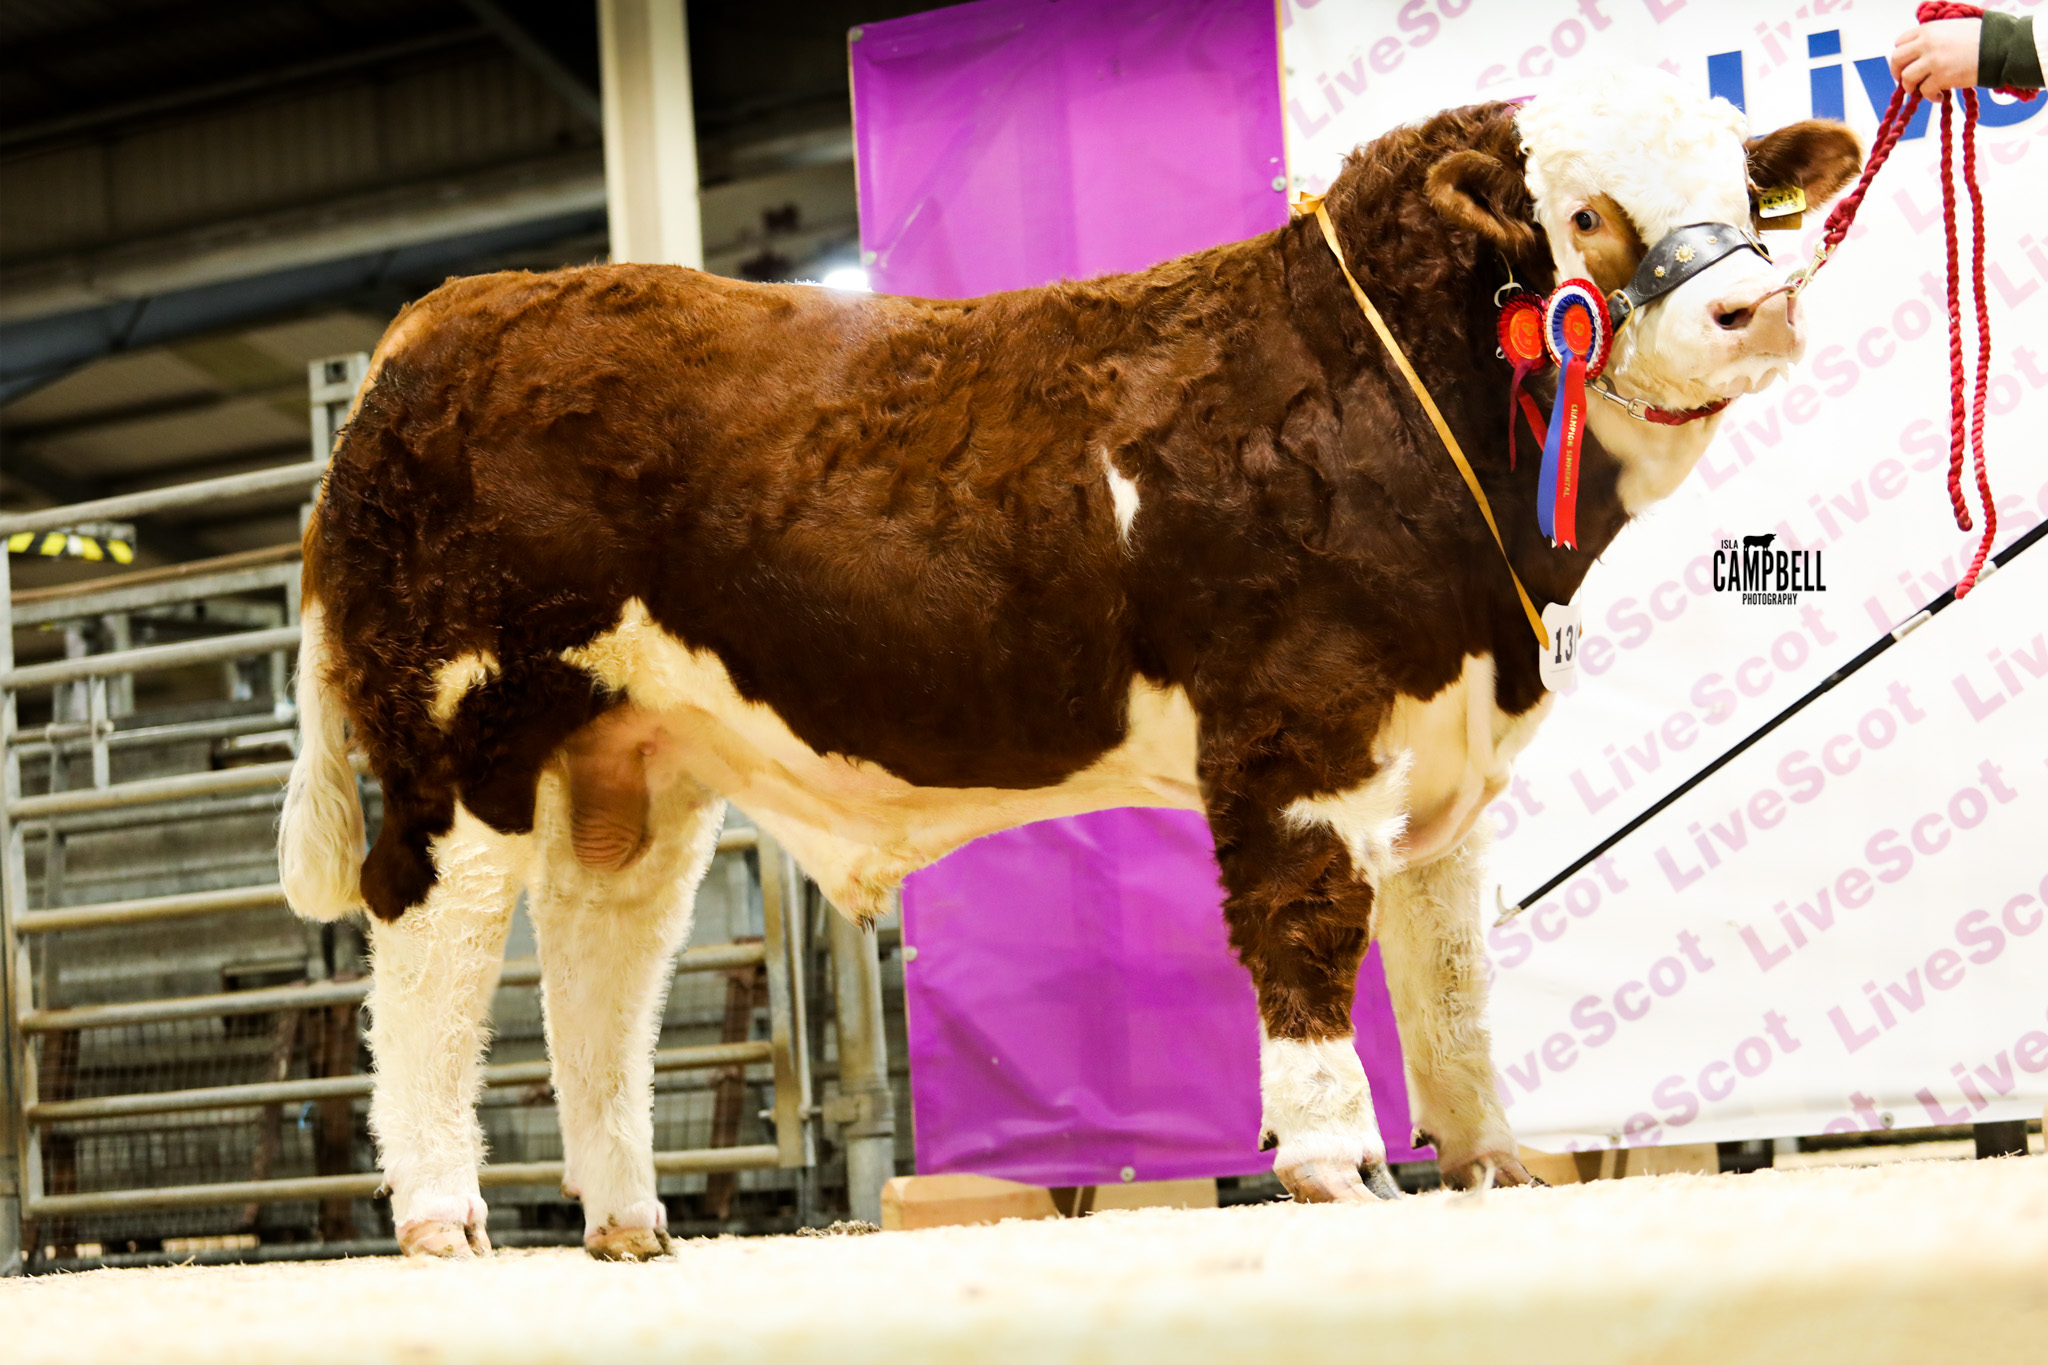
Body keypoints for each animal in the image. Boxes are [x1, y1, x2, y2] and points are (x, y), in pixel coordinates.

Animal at [279, 68, 1861, 1259]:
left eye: (1743, 188)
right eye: (1584, 212)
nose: (1755, 307)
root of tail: (450, 312)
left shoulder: (1439, 739)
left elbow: (1451, 973)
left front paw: (1492, 1162)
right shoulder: (1297, 725)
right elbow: (1304, 935)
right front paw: (1338, 1165)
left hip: (634, 758)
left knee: (600, 957)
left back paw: (624, 1222)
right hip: (459, 725)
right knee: (431, 946)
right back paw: (441, 1215)